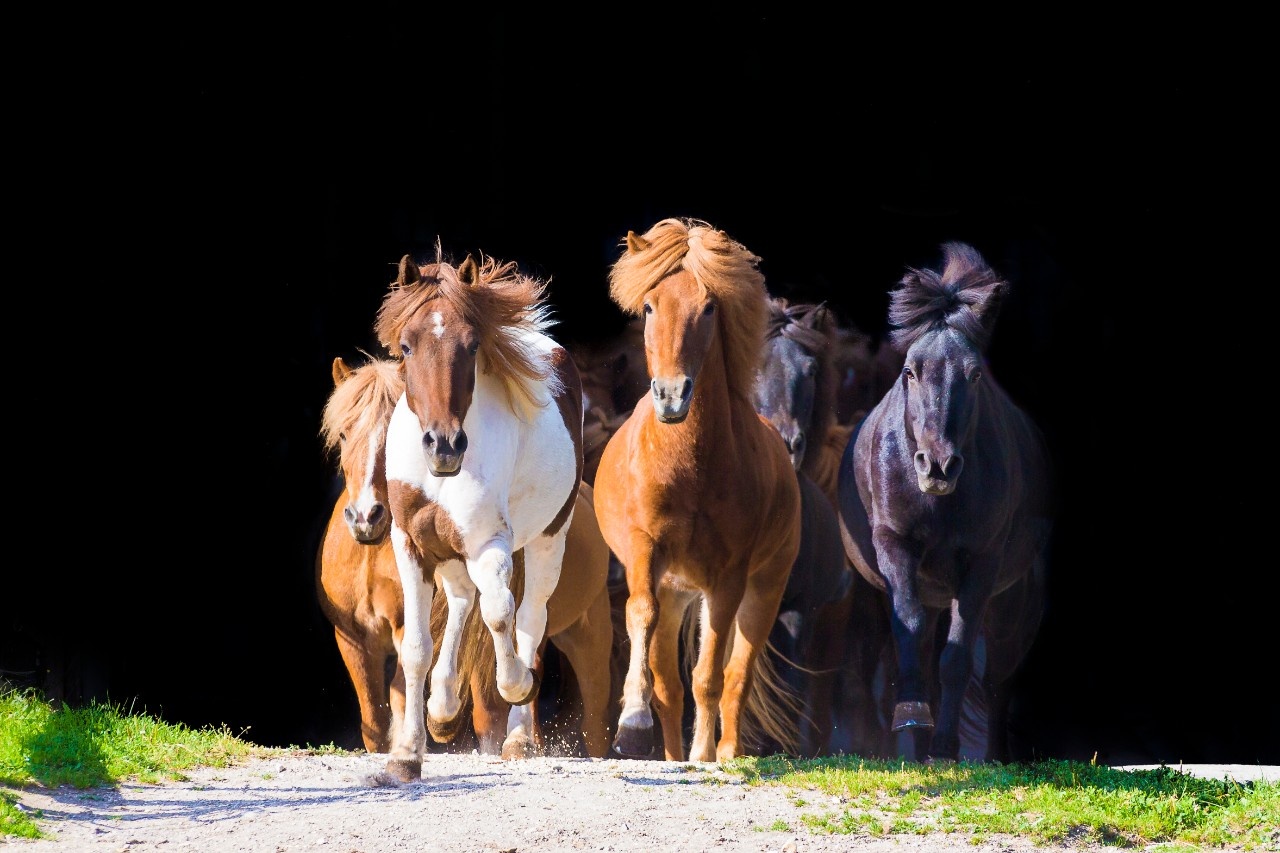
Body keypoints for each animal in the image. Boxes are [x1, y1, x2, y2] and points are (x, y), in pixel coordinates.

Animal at [374, 246, 585, 782]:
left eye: (471, 347)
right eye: (405, 346)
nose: (444, 445)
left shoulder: (490, 543)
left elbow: (500, 615)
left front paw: (519, 684)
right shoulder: (411, 543)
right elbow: (417, 647)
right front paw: (407, 754)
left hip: (548, 539)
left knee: (526, 615)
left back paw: (518, 737)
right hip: (449, 551)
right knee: (462, 603)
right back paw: (443, 712)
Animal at [593, 217, 803, 763]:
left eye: (708, 307)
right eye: (649, 306)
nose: (671, 396)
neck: (690, 468)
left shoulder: (727, 579)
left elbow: (711, 677)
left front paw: (703, 753)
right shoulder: (645, 556)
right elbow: (639, 619)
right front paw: (631, 723)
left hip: (763, 588)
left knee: (737, 675)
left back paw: (724, 754)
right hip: (676, 595)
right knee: (669, 683)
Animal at [836, 241, 1054, 763]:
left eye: (974, 374)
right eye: (909, 371)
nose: (937, 466)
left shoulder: (982, 562)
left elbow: (957, 656)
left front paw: (946, 746)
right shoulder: (894, 546)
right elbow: (909, 632)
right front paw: (912, 723)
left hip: (1011, 605)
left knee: (997, 682)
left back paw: (992, 755)